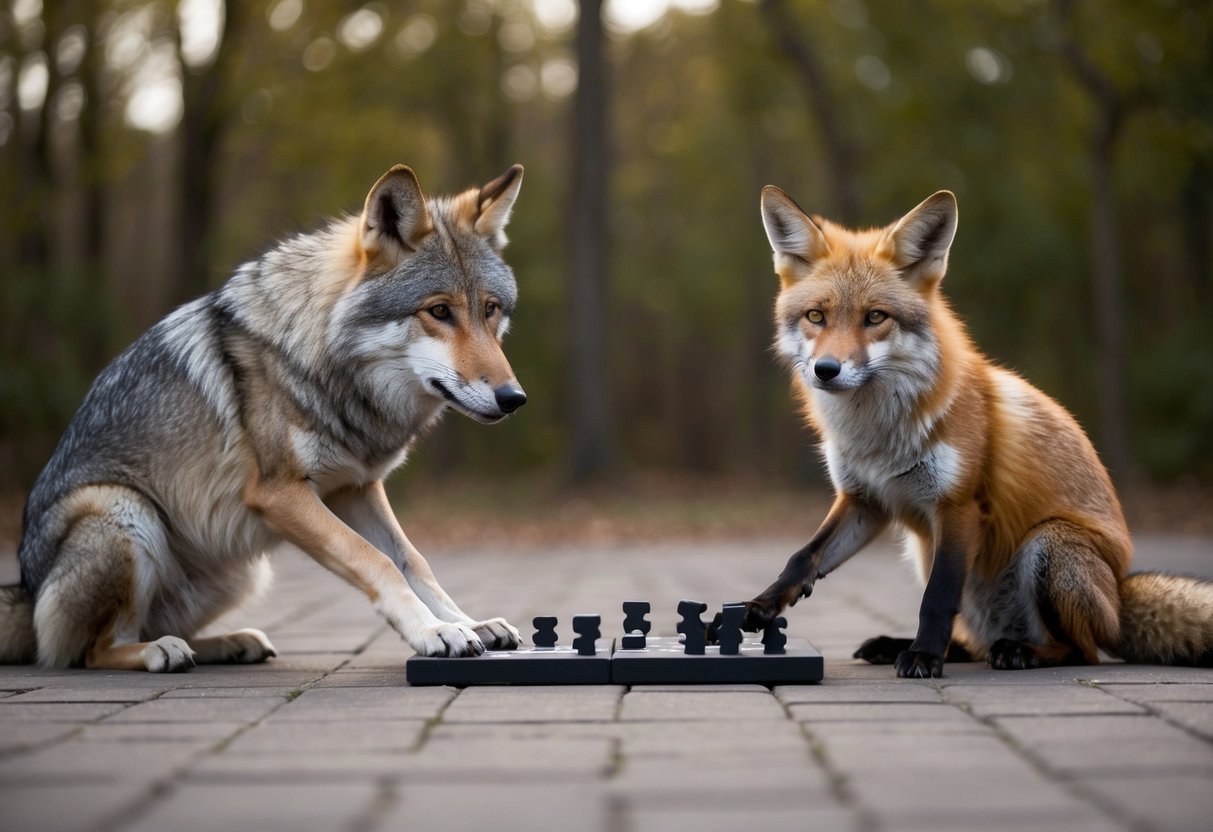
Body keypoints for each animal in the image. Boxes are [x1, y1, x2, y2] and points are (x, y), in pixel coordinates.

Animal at [0, 164, 530, 671]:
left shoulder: (355, 488)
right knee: (95, 650)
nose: (513, 398)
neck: (321, 360)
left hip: (241, 571)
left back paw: (231, 644)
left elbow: (413, 561)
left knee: (155, 631)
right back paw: (161, 653)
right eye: (439, 311)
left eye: (490, 310)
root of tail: (26, 590)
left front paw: (469, 624)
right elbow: (375, 560)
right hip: (124, 510)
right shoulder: (280, 494)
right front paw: (434, 632)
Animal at [741, 185, 1213, 678]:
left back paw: (1021, 652)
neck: (877, 439)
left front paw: (924, 657)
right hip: (926, 551)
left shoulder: (959, 506)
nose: (826, 370)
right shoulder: (864, 500)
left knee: (1080, 650)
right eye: (816, 316)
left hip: (1049, 545)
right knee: (973, 641)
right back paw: (905, 644)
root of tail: (1121, 596)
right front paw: (761, 606)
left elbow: (936, 598)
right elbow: (804, 557)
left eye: (875, 317)